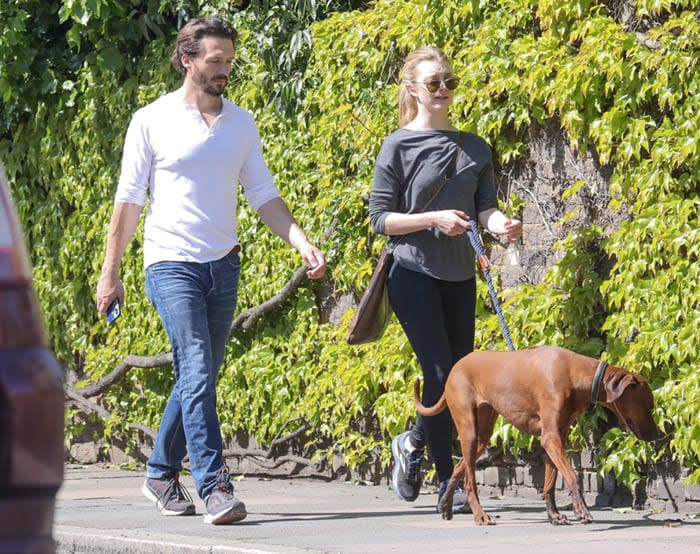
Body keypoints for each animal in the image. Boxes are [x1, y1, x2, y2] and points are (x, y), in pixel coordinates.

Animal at [416, 344, 660, 520]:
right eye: (648, 405)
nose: (657, 436)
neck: (575, 373)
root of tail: (454, 368)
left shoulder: (557, 438)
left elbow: (550, 483)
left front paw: (554, 515)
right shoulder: (551, 439)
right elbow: (573, 477)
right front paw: (581, 510)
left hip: (482, 435)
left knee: (459, 468)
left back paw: (446, 506)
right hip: (468, 430)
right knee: (469, 480)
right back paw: (479, 515)